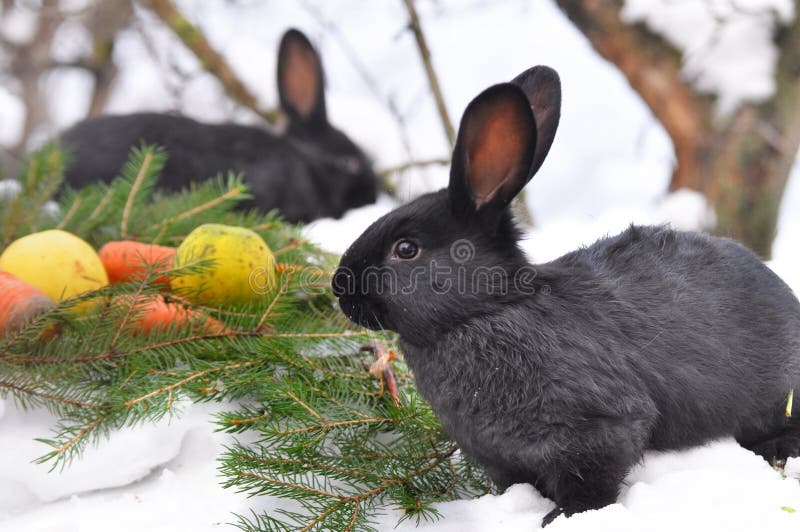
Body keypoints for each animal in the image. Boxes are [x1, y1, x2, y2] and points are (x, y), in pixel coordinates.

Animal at [332, 65, 800, 526]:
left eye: (406, 249)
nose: (340, 288)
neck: (485, 311)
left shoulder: (598, 429)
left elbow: (590, 483)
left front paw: (561, 516)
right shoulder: (497, 456)